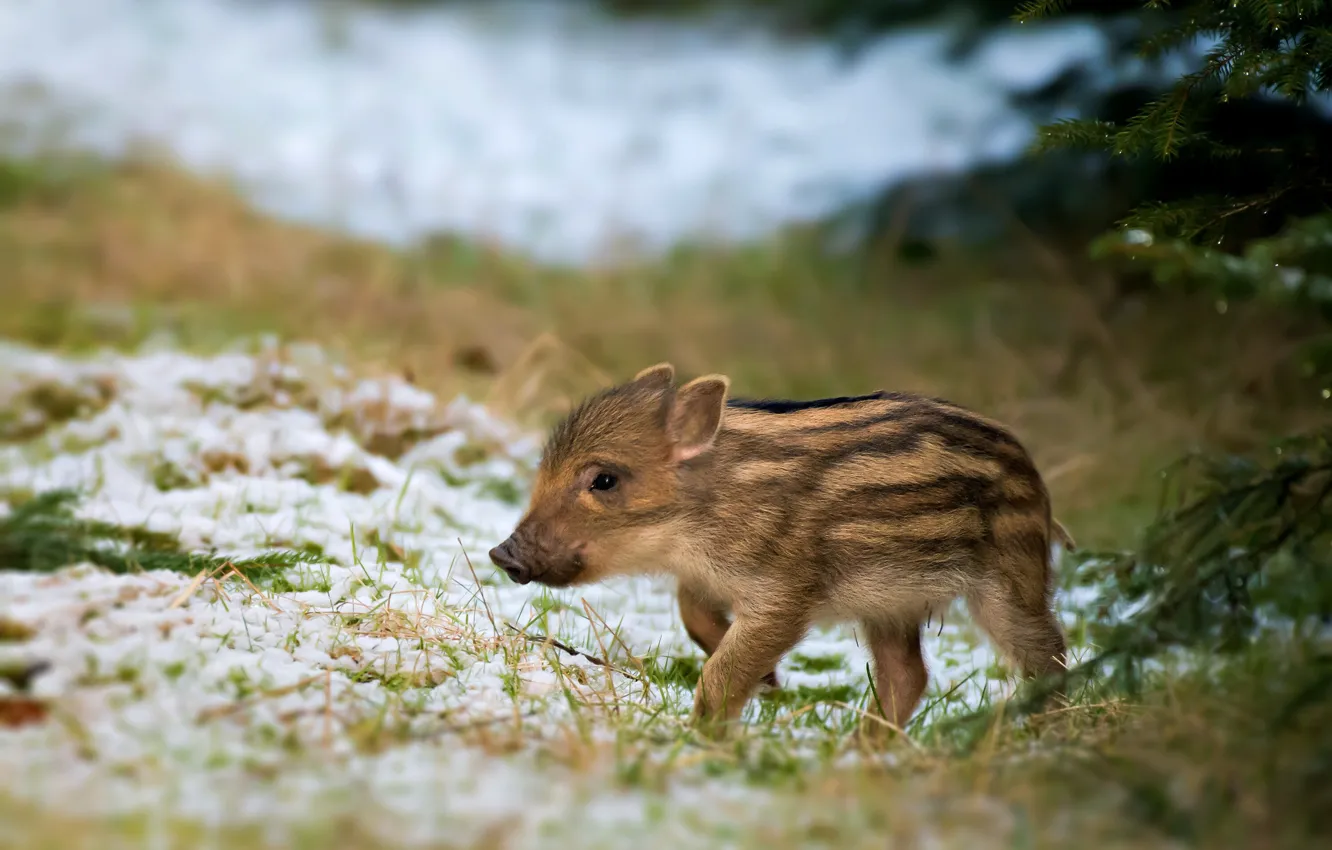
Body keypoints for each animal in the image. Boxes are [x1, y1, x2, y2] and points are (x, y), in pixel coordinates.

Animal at [489, 363, 1073, 737]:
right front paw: (769, 684)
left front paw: (705, 734)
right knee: (908, 676)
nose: (502, 555)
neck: (700, 518)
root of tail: (1031, 472)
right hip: (891, 602)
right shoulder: (705, 578)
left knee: (1046, 655)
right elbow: (691, 613)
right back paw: (862, 751)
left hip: (1011, 580)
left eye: (604, 480)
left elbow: (724, 669)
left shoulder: (785, 594)